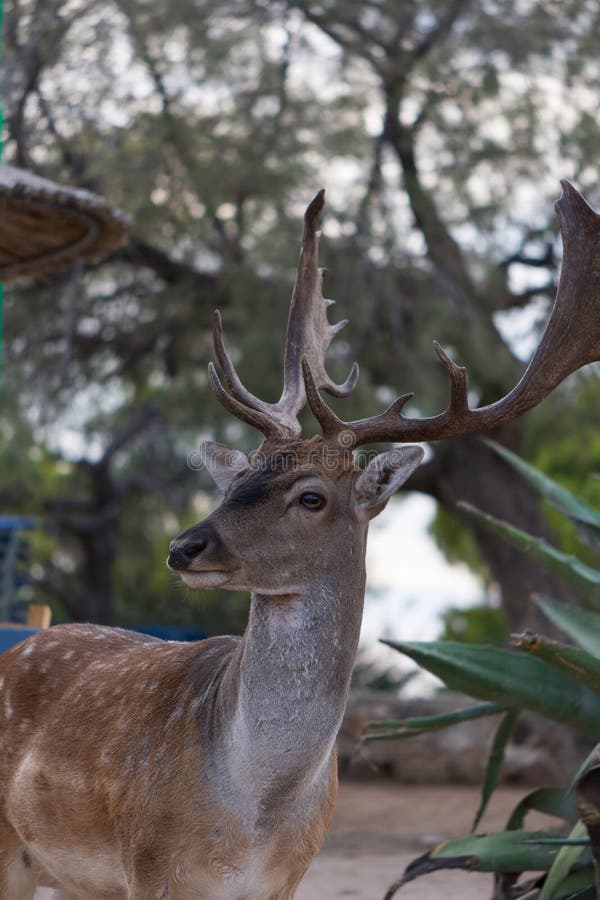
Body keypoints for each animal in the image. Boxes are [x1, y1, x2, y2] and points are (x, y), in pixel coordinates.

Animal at [1, 181, 600, 900]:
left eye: (312, 497)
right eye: (238, 480)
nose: (184, 547)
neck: (257, 822)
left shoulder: (288, 877)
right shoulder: (150, 865)